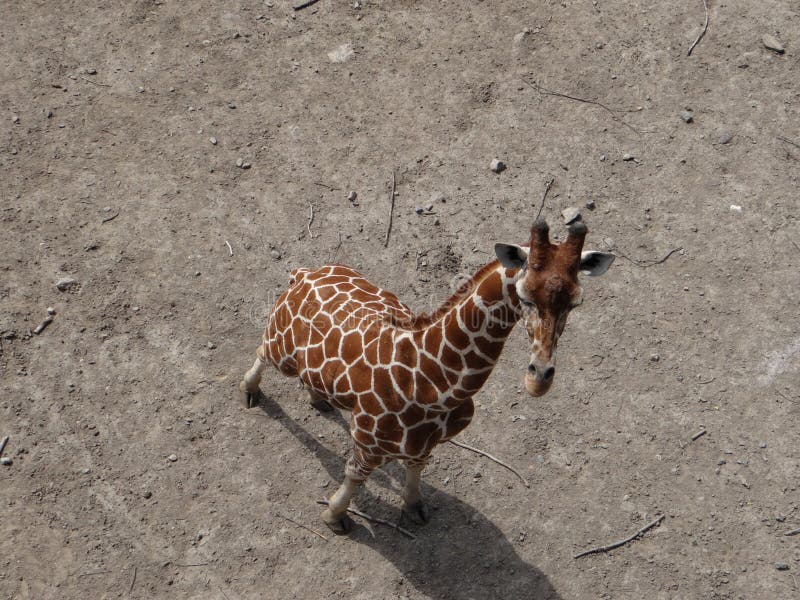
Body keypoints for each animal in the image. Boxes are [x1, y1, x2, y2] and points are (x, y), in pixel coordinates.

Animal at [239, 216, 614, 534]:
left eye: (576, 302)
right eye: (524, 296)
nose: (539, 378)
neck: (431, 384)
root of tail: (304, 273)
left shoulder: (424, 443)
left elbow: (416, 468)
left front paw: (414, 508)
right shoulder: (368, 439)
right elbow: (355, 475)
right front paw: (334, 516)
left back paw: (318, 398)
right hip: (282, 349)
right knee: (261, 351)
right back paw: (249, 390)